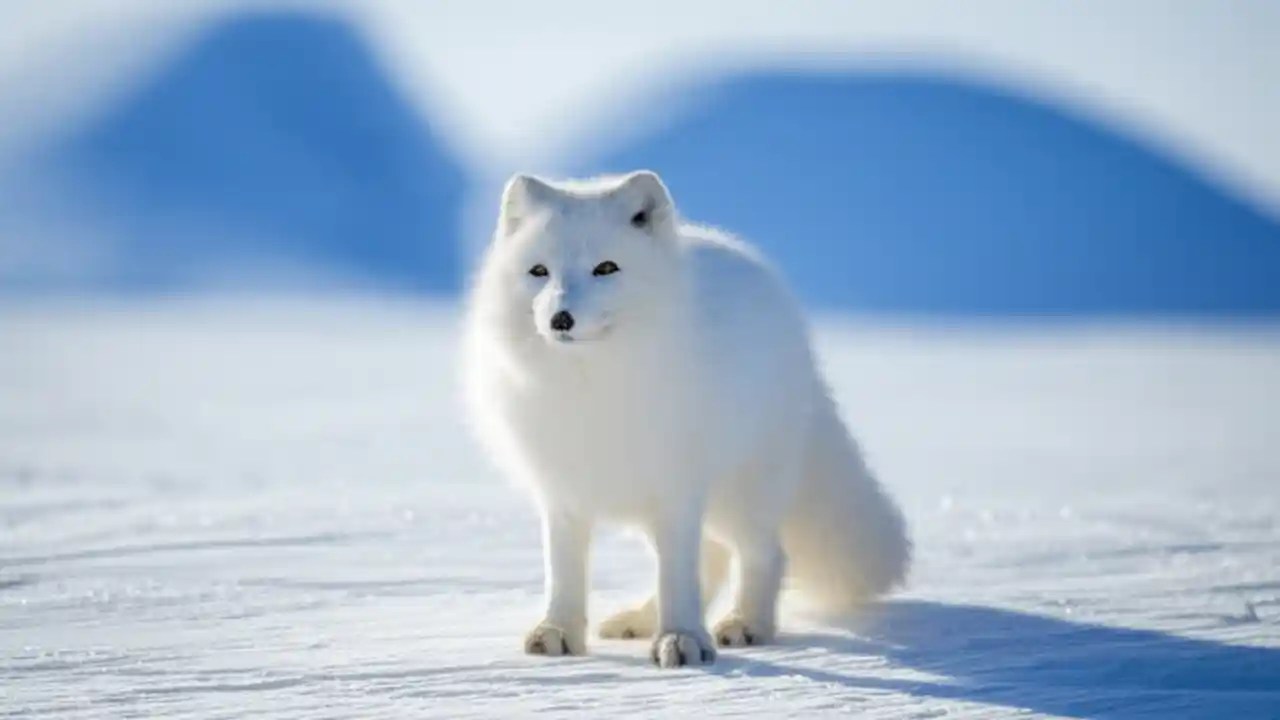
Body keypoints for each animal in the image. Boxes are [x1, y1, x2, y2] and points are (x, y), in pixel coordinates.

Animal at [462, 170, 910, 668]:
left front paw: (681, 636)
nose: (561, 318)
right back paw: (642, 619)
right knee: (711, 559)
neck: (594, 386)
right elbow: (564, 571)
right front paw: (558, 630)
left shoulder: (677, 487)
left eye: (606, 268)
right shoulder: (564, 491)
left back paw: (745, 624)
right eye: (539, 271)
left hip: (740, 492)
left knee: (763, 553)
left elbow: (678, 572)